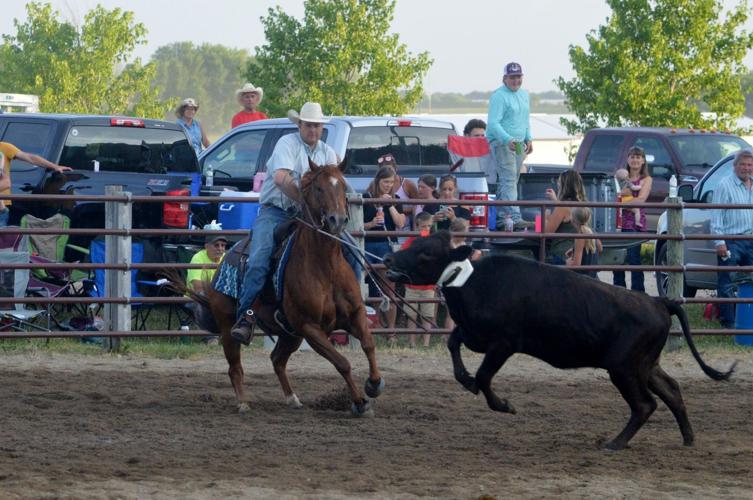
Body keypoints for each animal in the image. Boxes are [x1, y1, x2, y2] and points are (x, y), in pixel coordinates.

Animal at [177, 159, 384, 416]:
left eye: (343, 187)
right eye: (318, 188)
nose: (337, 220)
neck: (326, 267)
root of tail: (222, 265)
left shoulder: (354, 315)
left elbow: (368, 344)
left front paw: (374, 384)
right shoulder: (310, 327)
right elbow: (342, 363)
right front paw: (359, 402)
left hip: (289, 334)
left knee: (277, 360)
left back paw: (292, 398)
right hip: (228, 326)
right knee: (235, 367)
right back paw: (243, 402)